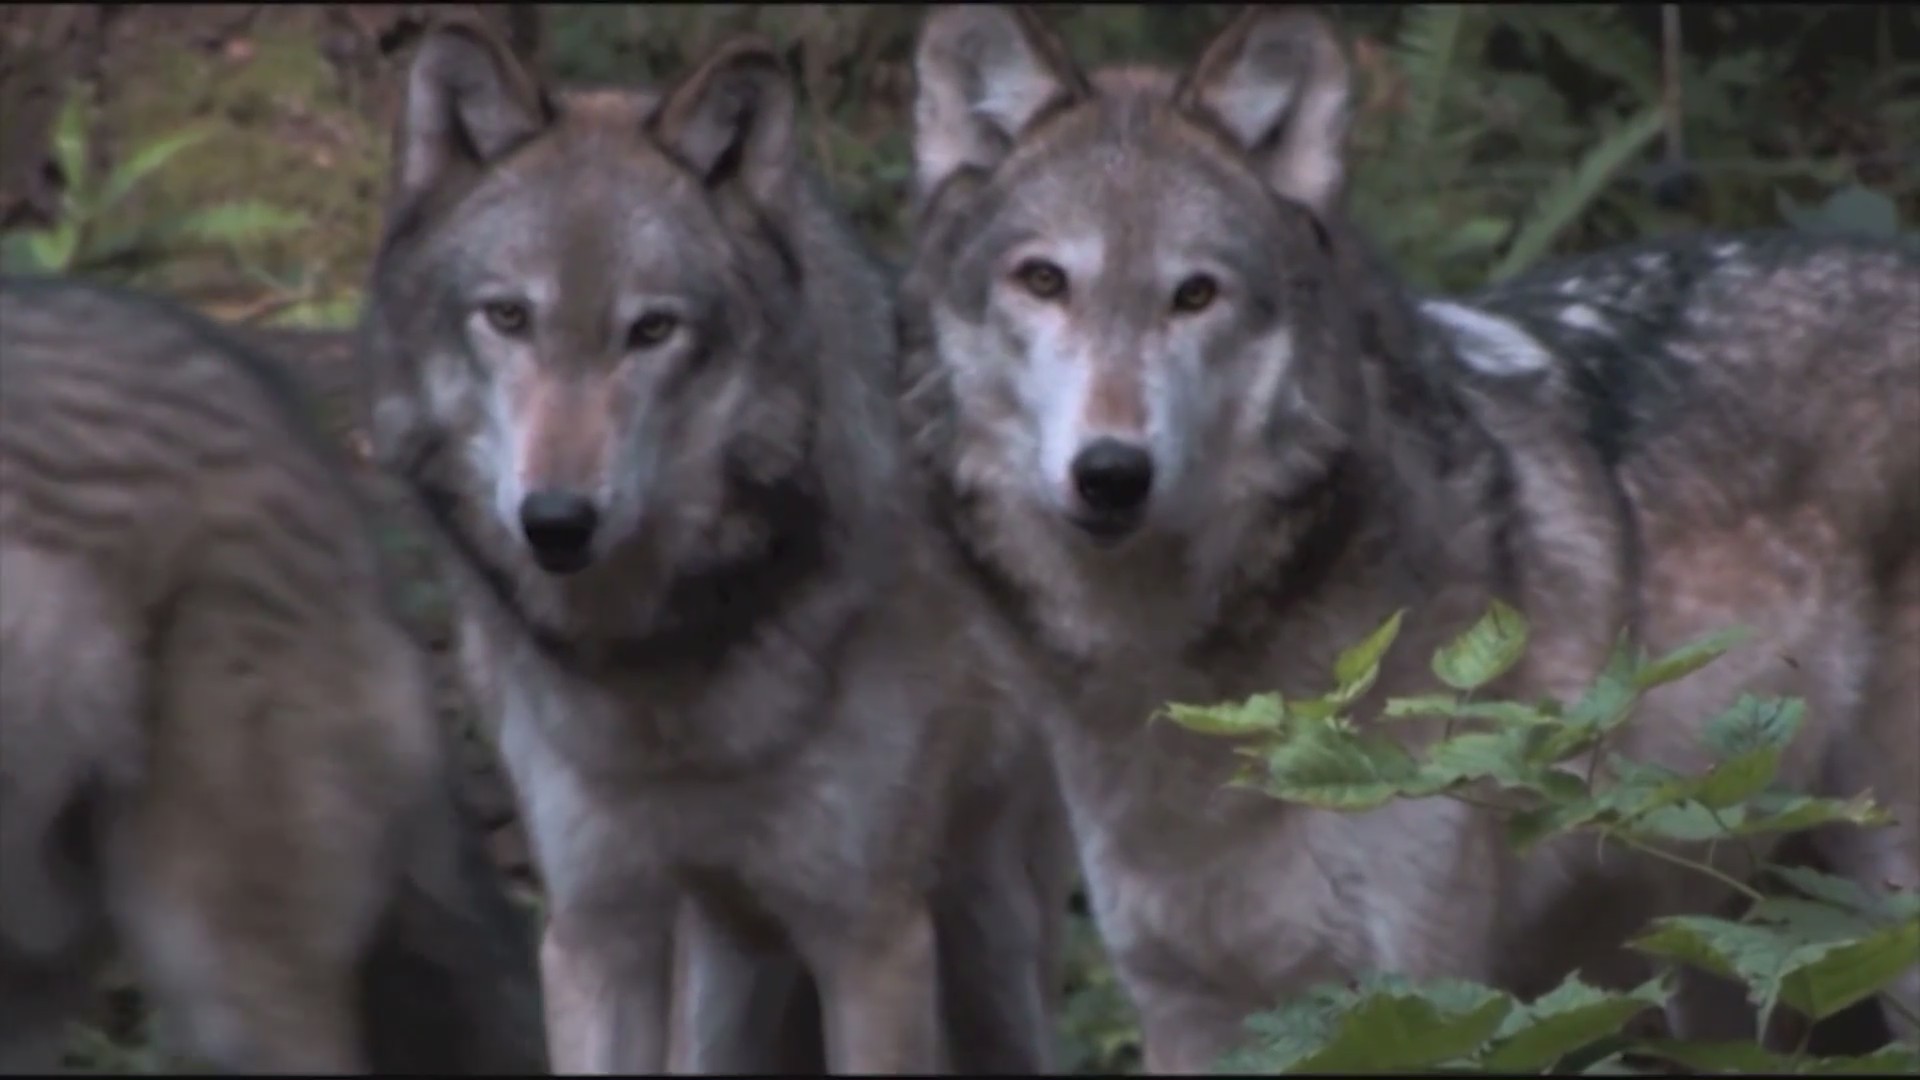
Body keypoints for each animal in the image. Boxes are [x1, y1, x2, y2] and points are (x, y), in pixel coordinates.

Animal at [357, 19, 1073, 1074]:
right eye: (509, 317)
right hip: (729, 953)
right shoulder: (593, 929)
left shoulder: (872, 943)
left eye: (653, 329)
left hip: (990, 938)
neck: (663, 669)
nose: (556, 520)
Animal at [900, 4, 1920, 1071]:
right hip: (1706, 942)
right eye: (1043, 280)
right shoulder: (1184, 1007)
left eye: (1195, 295)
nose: (1110, 471)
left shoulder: (1427, 994)